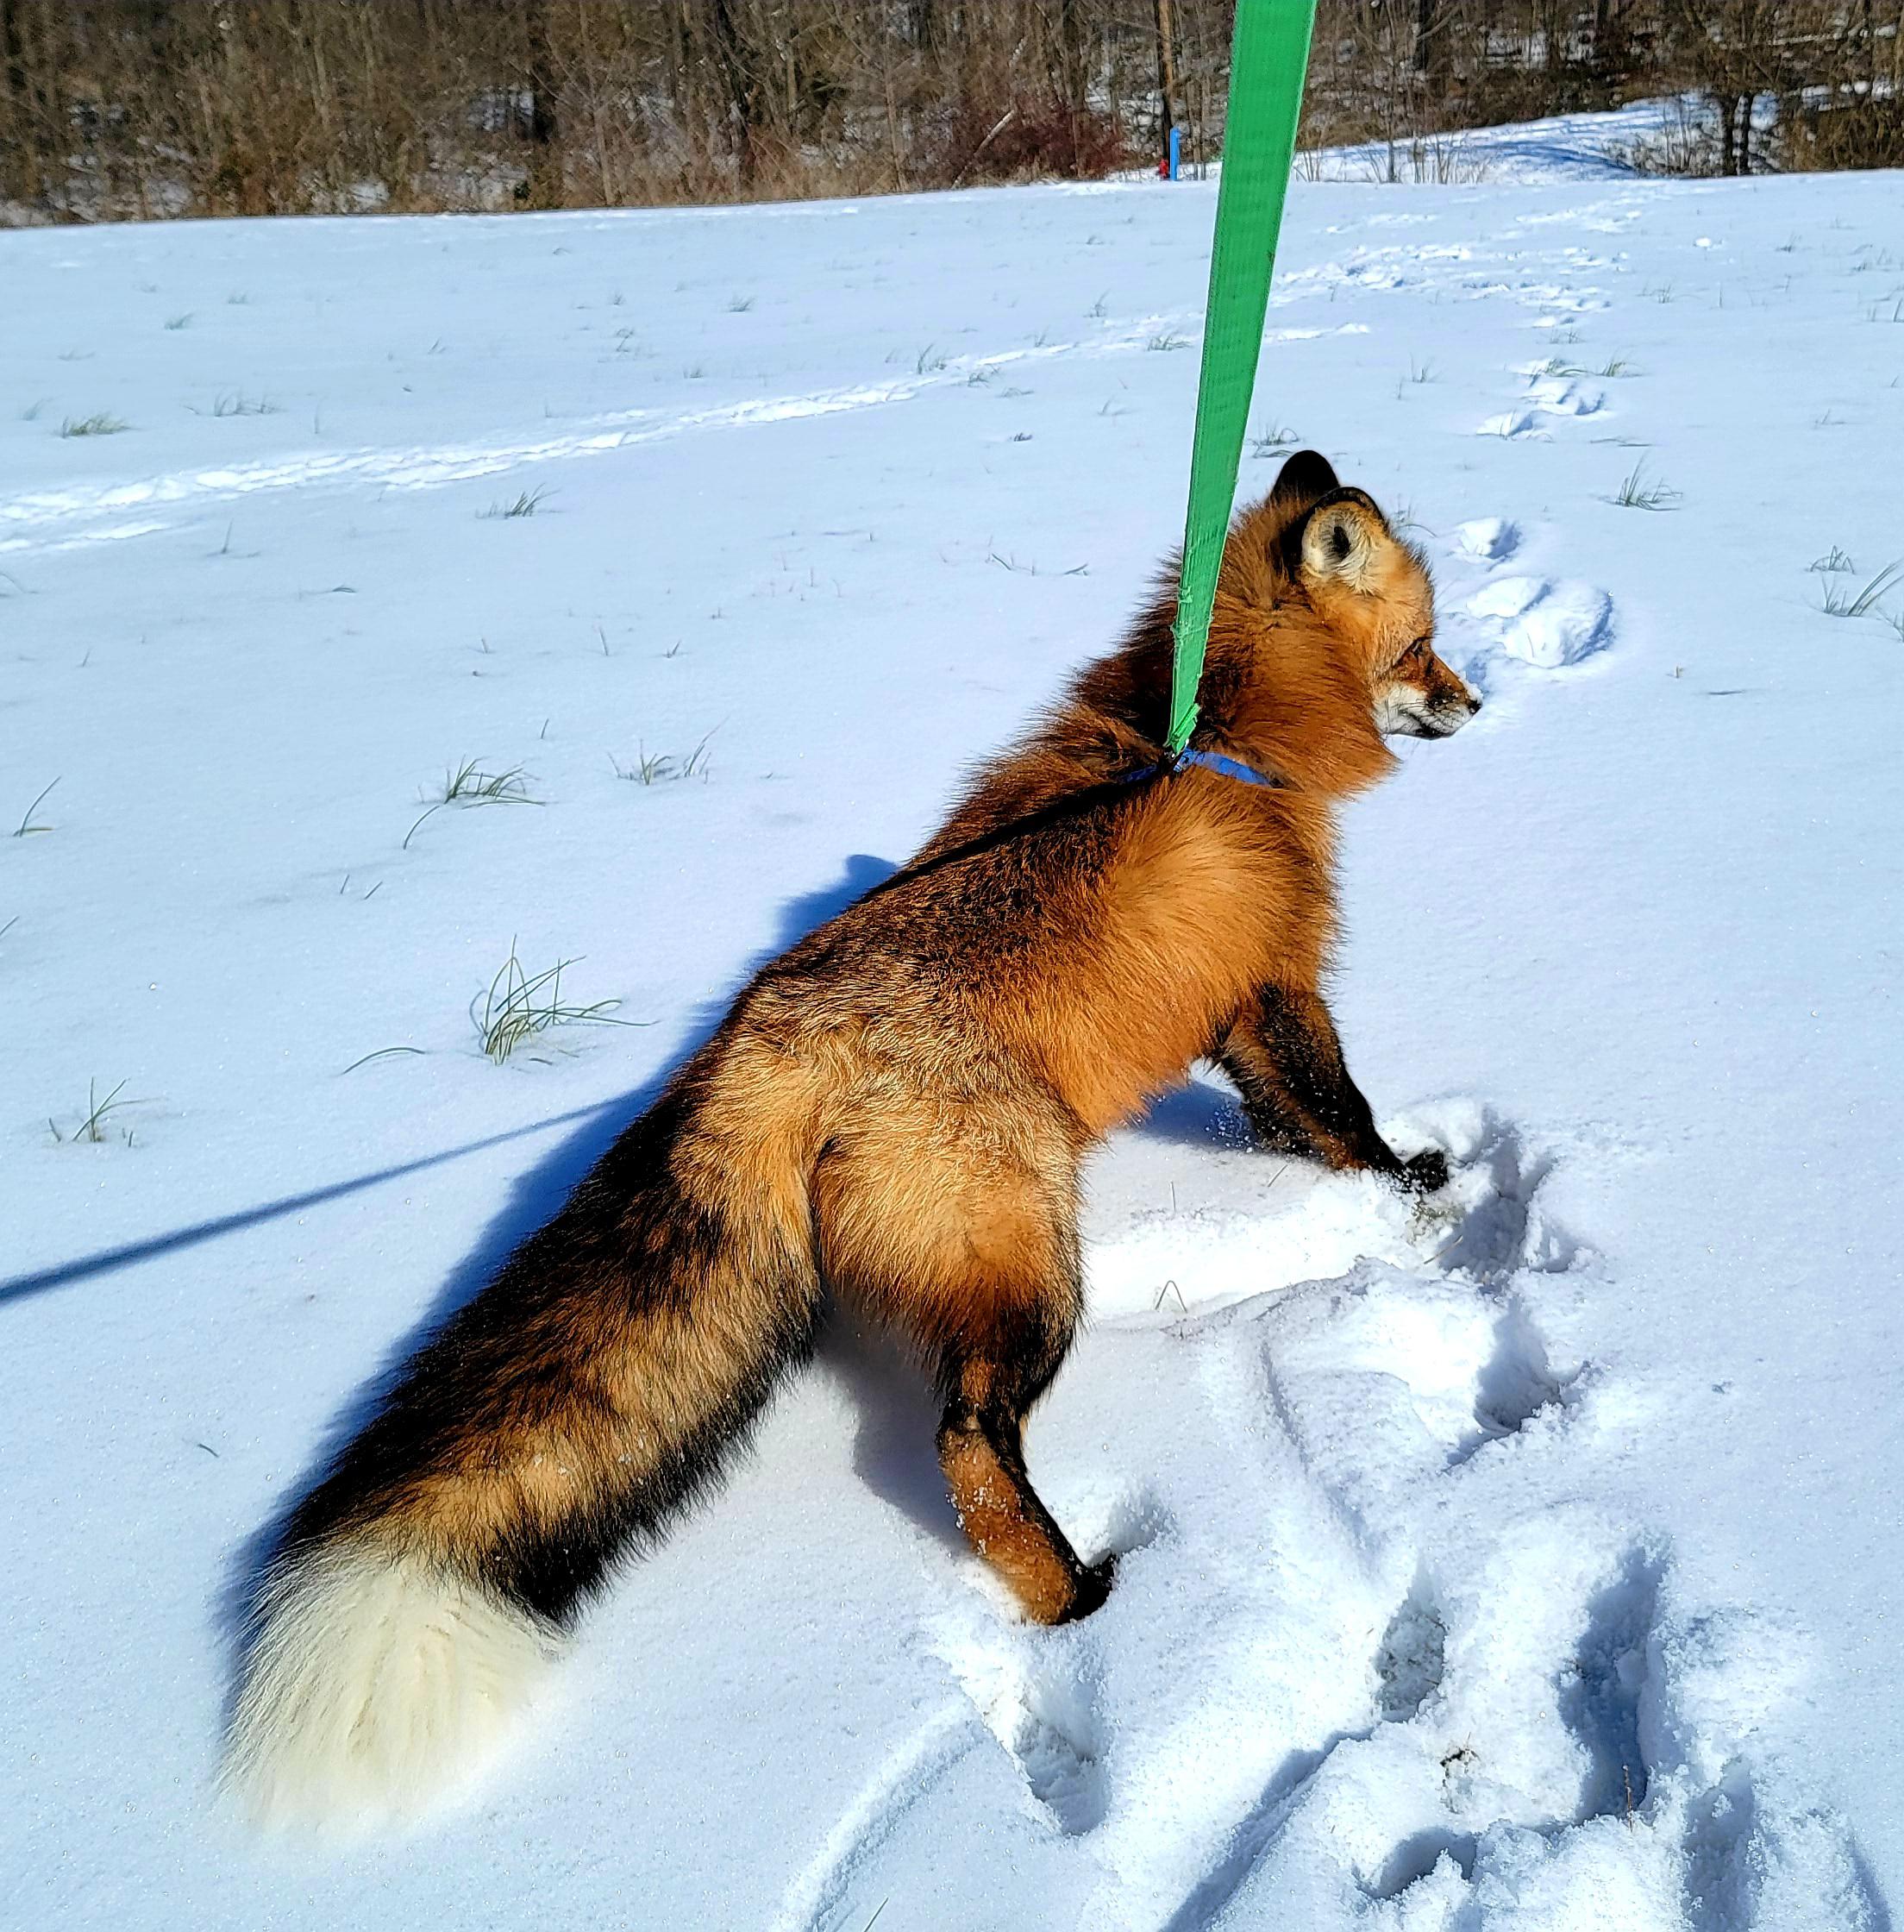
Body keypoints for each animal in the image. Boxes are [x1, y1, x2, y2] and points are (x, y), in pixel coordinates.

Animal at [226, 450, 1480, 1828]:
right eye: (1422, 645)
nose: (1476, 700)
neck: (1221, 737)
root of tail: (756, 1034)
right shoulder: (1274, 987)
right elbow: (1340, 1110)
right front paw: (1407, 1189)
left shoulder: (1238, 1015)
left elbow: (1285, 1117)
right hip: (1032, 1263)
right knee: (967, 1441)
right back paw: (1075, 1597)